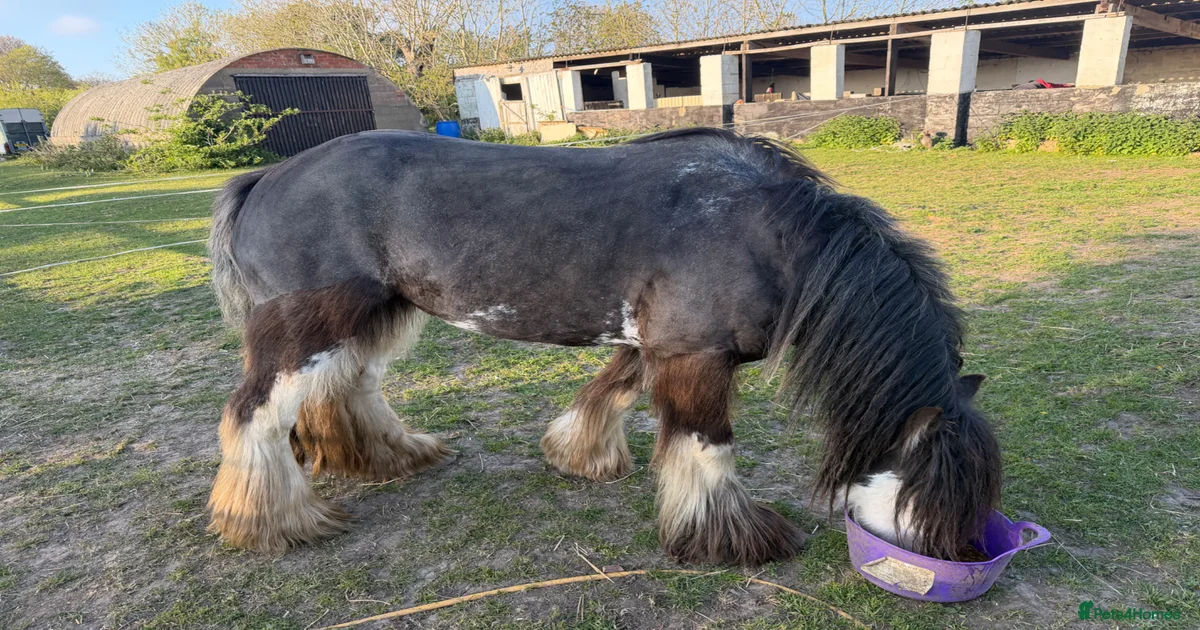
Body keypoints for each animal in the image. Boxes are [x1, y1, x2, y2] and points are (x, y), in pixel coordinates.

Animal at [206, 127, 1001, 565]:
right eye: (936, 489)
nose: (960, 556)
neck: (767, 230)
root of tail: (265, 177)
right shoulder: (695, 357)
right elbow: (707, 447)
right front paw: (730, 540)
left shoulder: (660, 344)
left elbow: (611, 391)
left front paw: (578, 456)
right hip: (311, 324)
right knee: (255, 414)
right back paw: (271, 523)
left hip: (364, 316)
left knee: (346, 388)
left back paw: (388, 459)